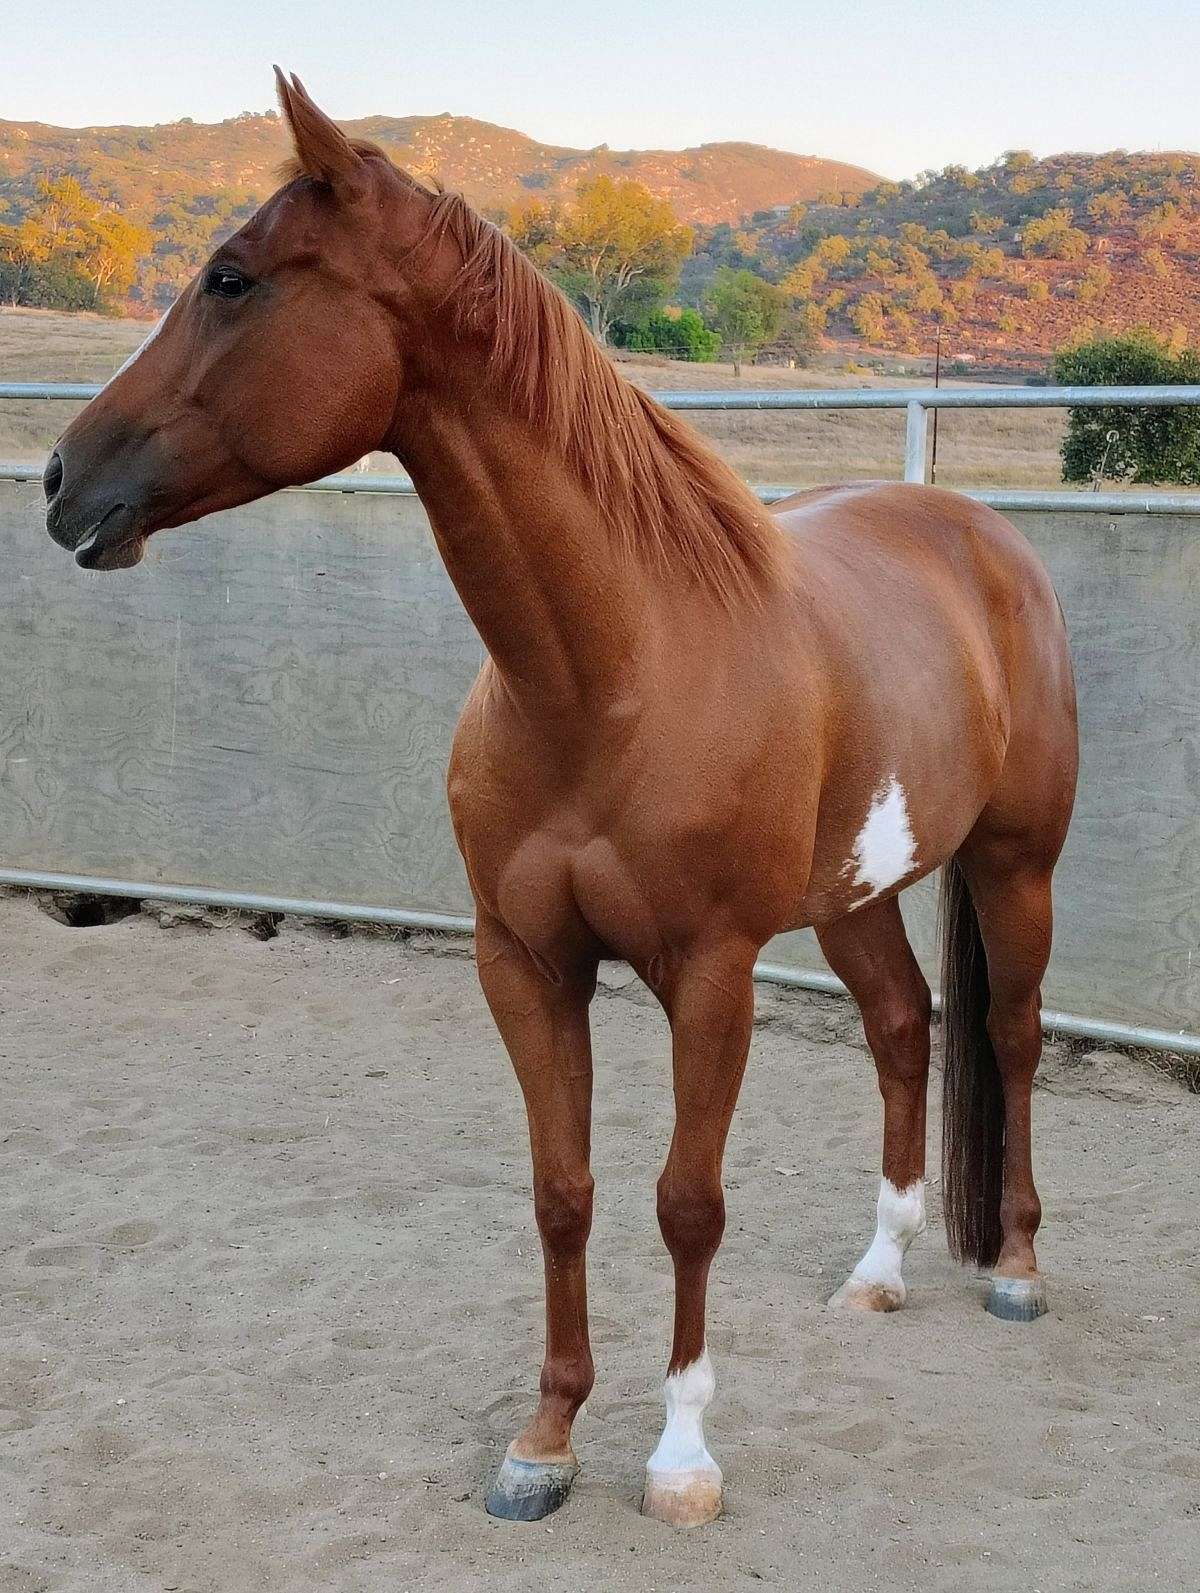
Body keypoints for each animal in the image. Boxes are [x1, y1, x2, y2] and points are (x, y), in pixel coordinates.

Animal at [43, 71, 1078, 1528]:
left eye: (231, 278)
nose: (62, 481)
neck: (616, 671)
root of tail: (985, 536)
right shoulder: (526, 964)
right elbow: (562, 1191)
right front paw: (543, 1443)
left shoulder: (709, 972)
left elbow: (687, 1201)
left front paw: (682, 1458)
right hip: (854, 896)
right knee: (900, 1028)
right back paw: (878, 1272)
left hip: (1014, 864)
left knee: (1013, 1033)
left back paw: (1020, 1271)